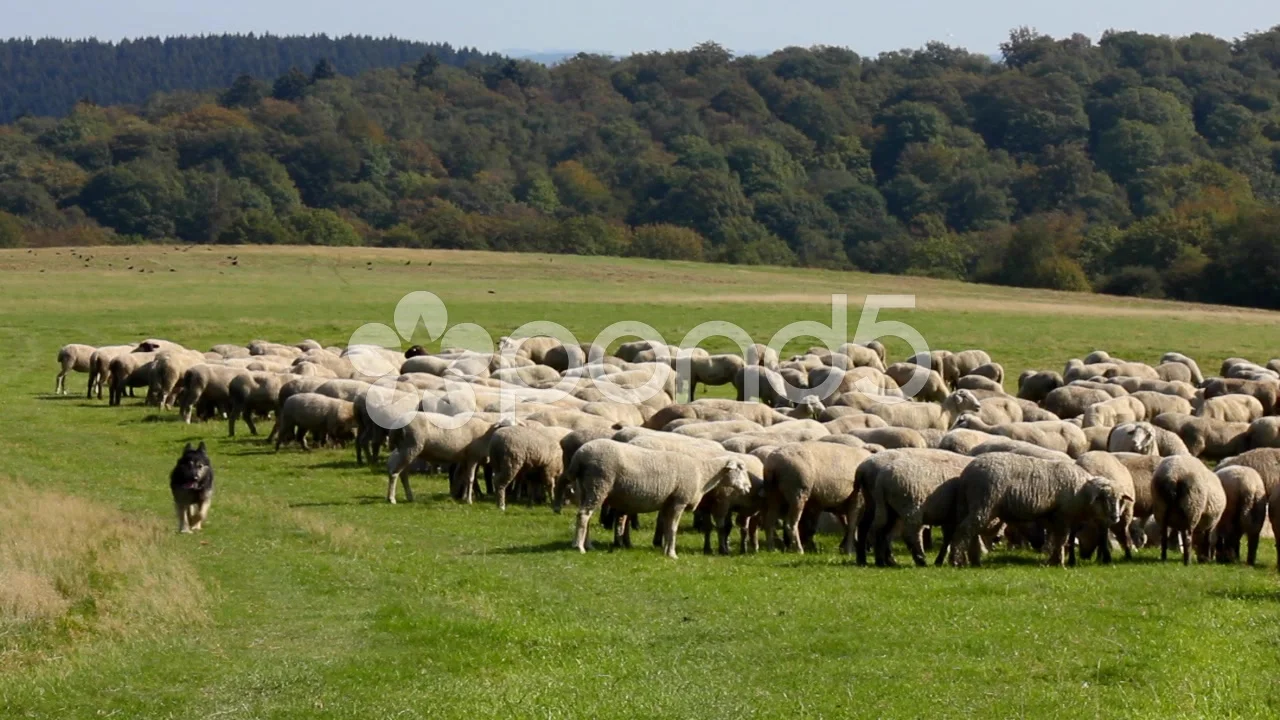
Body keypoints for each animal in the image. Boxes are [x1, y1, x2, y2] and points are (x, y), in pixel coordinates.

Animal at [559, 439, 751, 558]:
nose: (749, 488)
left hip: (585, 488)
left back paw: (588, 545)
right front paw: (673, 554)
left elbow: (666, 527)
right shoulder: (679, 501)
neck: (703, 473)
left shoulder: (668, 502)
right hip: (599, 484)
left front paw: (665, 550)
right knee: (584, 515)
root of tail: (579, 455)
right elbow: (673, 528)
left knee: (585, 515)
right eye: (740, 468)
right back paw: (579, 546)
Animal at [951, 453, 1128, 567]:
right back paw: (956, 561)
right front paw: (1058, 562)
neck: (1081, 490)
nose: (1115, 517)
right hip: (984, 503)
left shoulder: (1052, 516)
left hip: (966, 505)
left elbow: (1056, 539)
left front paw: (1054, 559)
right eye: (1103, 498)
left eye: (1120, 500)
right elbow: (1061, 539)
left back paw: (972, 560)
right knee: (965, 530)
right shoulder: (1062, 516)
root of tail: (967, 473)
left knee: (968, 530)